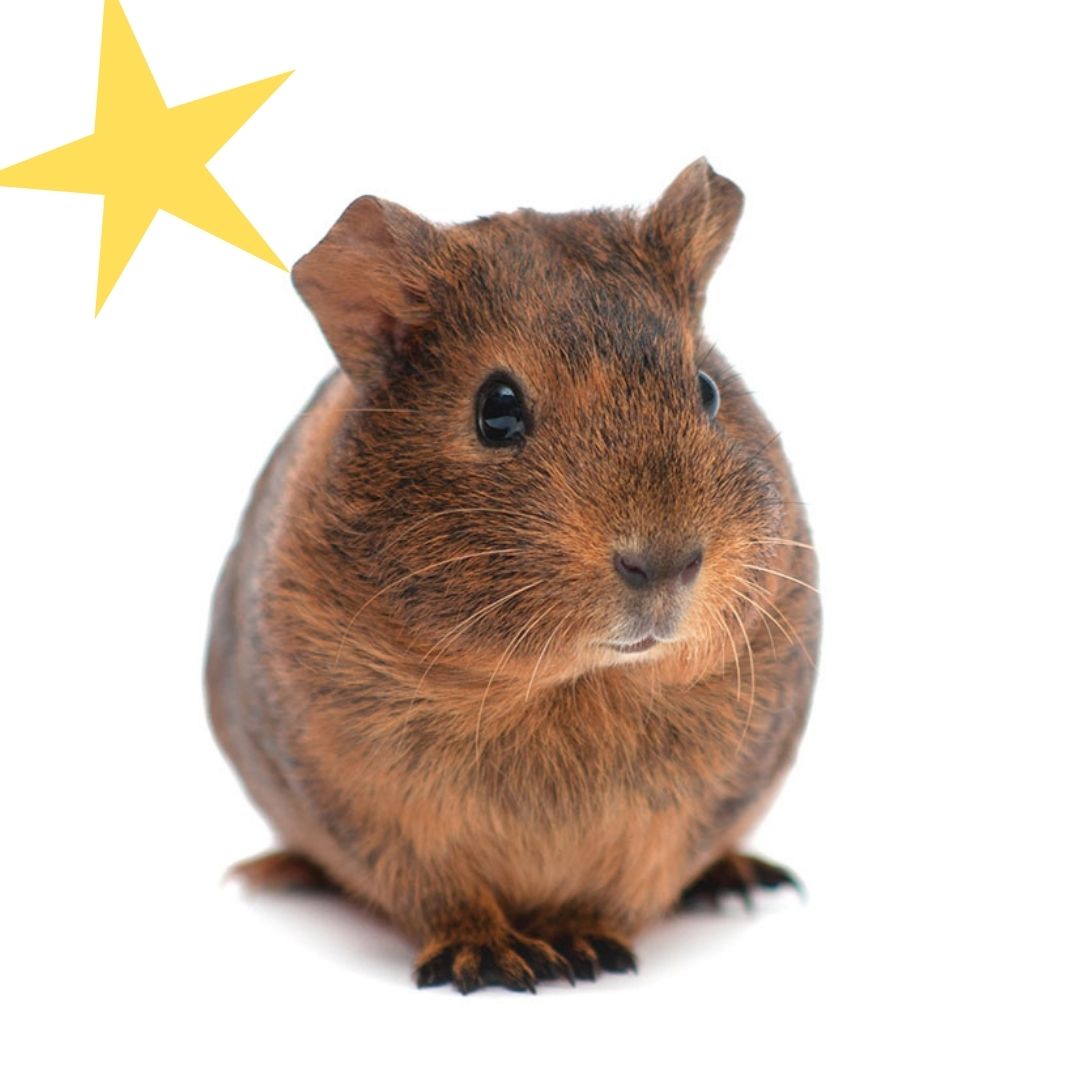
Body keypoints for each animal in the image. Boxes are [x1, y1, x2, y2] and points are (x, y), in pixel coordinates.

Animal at [206, 159, 820, 993]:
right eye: (496, 409)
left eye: (706, 388)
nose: (665, 560)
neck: (569, 691)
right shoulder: (368, 806)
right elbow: (439, 890)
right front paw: (495, 963)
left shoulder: (686, 817)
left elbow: (625, 888)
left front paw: (585, 952)